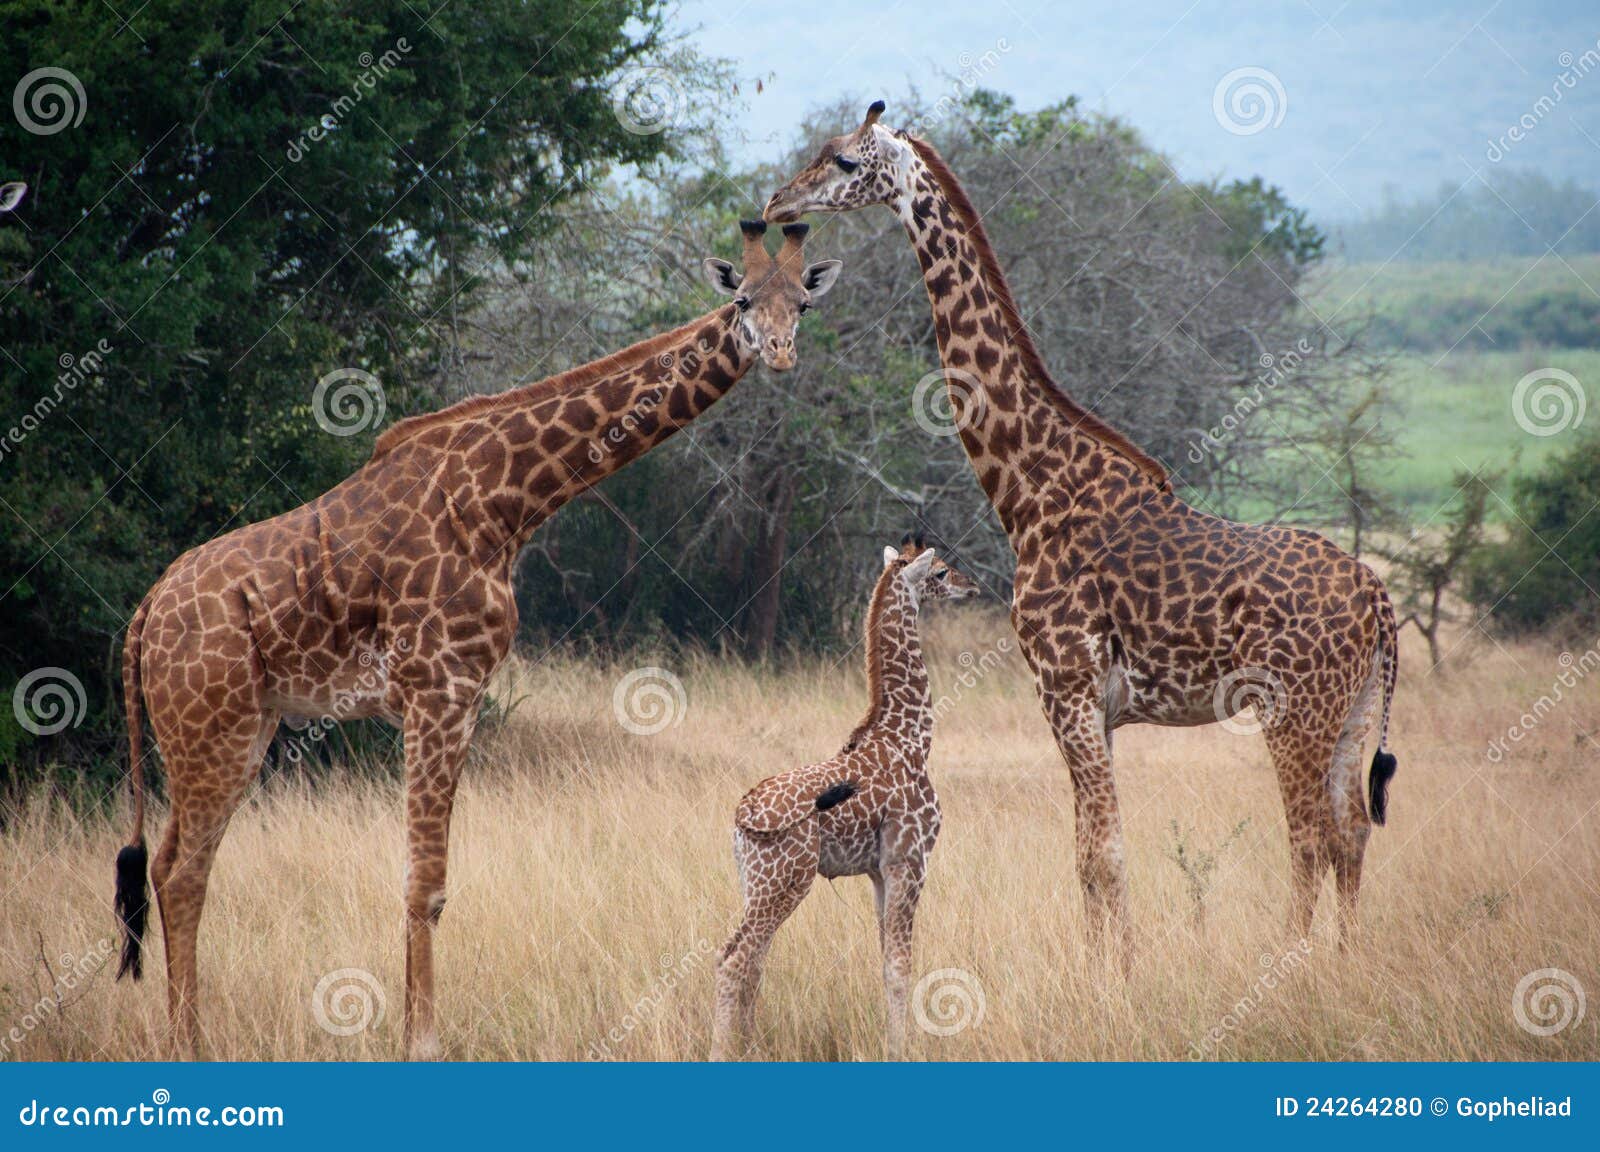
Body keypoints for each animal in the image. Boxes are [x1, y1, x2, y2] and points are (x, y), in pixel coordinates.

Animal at [111, 220, 844, 1060]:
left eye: (803, 304)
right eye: (744, 299)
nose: (781, 354)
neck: (507, 500)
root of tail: (145, 614)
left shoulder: (456, 700)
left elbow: (425, 880)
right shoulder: (437, 689)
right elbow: (424, 884)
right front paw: (423, 1043)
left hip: (238, 726)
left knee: (171, 865)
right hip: (214, 726)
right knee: (182, 874)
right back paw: (188, 1044)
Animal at [711, 535, 979, 1061]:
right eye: (938, 571)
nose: (971, 585)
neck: (910, 736)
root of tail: (742, 814)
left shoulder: (877, 871)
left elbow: (885, 960)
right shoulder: (908, 860)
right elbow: (900, 967)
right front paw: (899, 1050)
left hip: (753, 883)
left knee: (747, 961)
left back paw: (751, 1048)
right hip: (785, 883)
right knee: (735, 962)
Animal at [764, 103, 1399, 965]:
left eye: (840, 160)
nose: (775, 204)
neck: (1030, 489)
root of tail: (1375, 597)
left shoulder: (1063, 687)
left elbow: (1103, 853)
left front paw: (1118, 976)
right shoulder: (1094, 706)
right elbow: (1087, 852)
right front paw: (1108, 967)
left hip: (1292, 709)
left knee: (1309, 837)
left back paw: (1287, 967)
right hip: (1353, 708)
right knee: (1352, 832)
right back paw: (1341, 960)